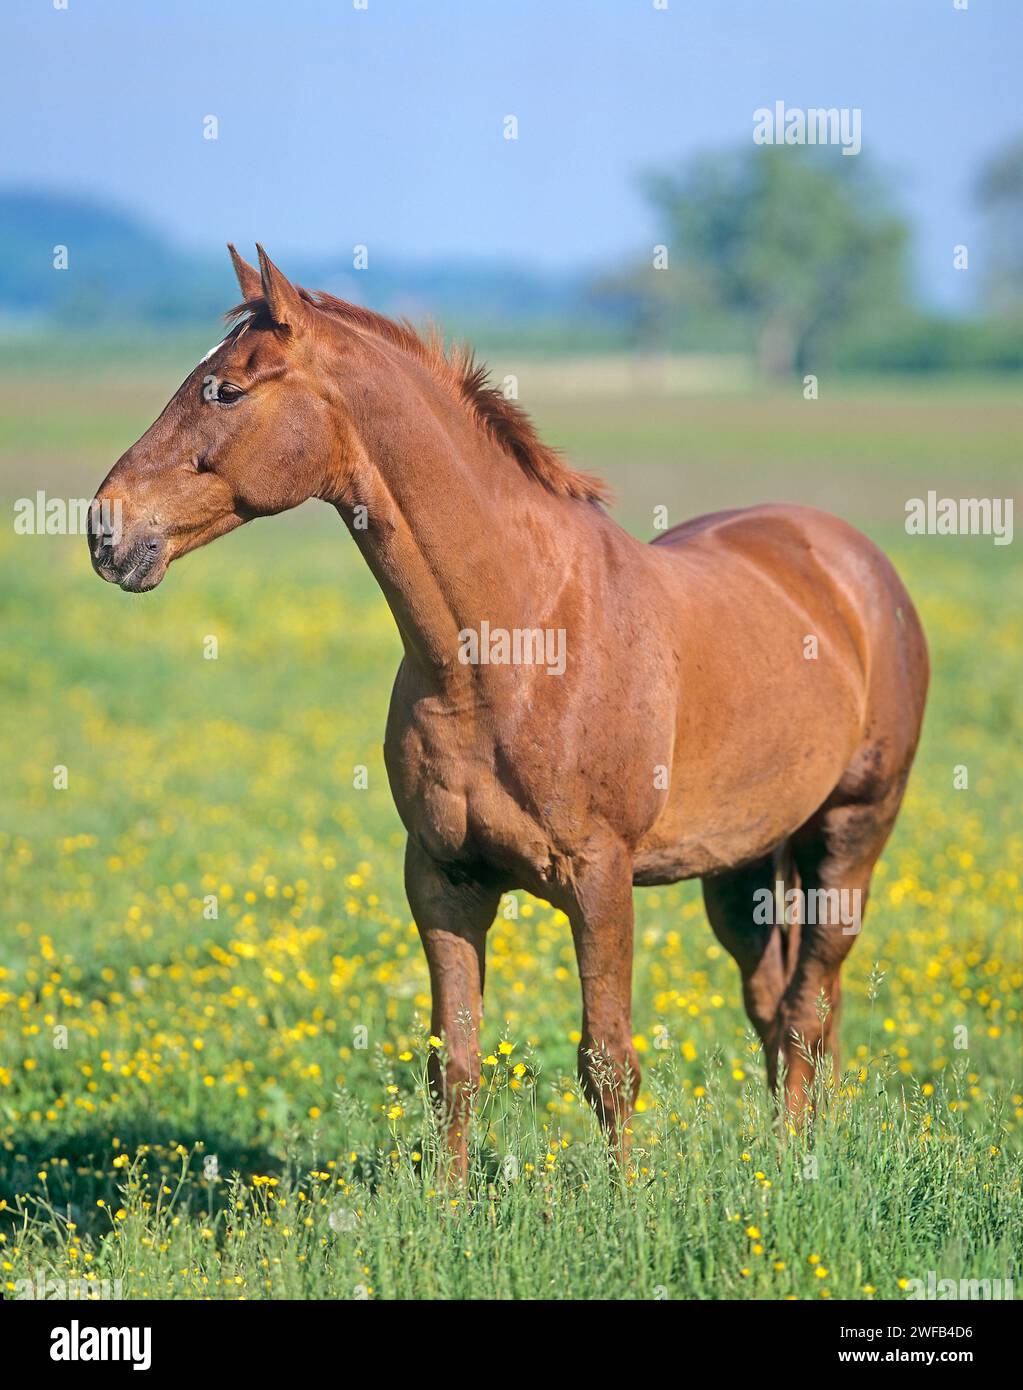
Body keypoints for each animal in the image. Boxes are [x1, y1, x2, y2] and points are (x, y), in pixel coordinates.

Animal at [88, 245, 929, 1173]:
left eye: (227, 391)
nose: (105, 529)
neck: (508, 647)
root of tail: (849, 562)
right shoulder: (442, 880)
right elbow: (450, 1063)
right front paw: (449, 1203)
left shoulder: (601, 881)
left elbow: (607, 1063)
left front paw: (625, 1200)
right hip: (741, 864)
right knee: (778, 1001)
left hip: (850, 832)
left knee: (811, 1000)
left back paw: (794, 1158)